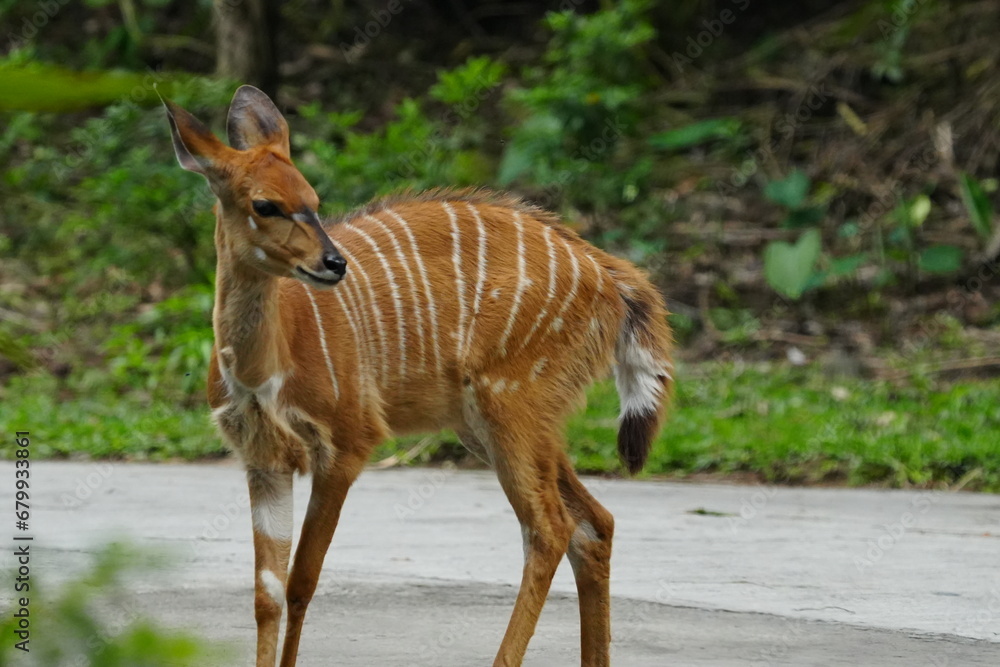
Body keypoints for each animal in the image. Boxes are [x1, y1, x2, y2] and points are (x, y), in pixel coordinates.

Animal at [163, 85, 674, 667]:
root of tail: (610, 276)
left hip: (513, 405)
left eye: (313, 199)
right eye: (264, 204)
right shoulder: (263, 460)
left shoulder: (347, 443)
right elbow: (265, 592)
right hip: (500, 422)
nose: (333, 263)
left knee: (550, 528)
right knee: (594, 522)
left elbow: (302, 583)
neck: (267, 366)